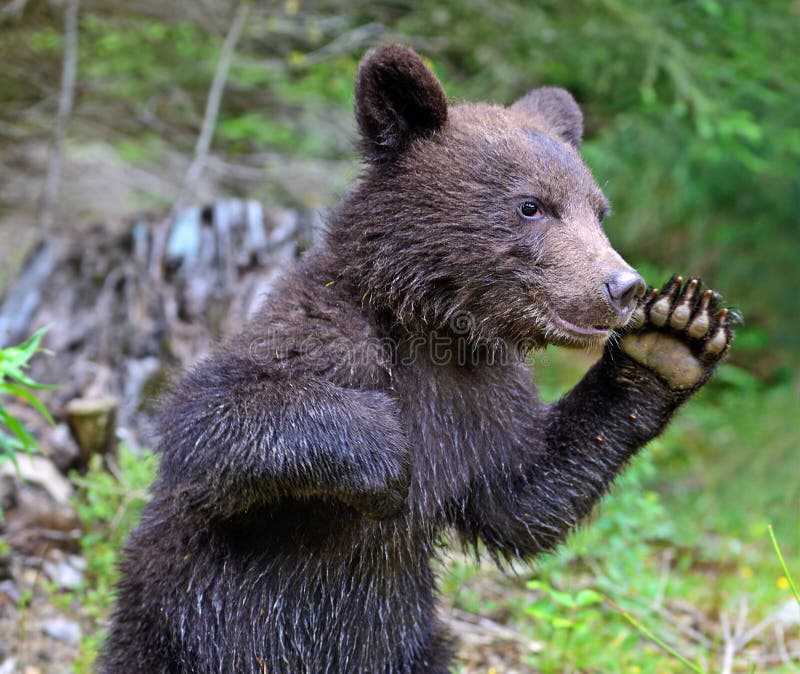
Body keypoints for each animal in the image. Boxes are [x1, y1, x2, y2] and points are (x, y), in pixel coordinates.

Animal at [99, 44, 734, 673]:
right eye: (532, 205)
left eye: (597, 210)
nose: (622, 286)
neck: (433, 328)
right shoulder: (319, 338)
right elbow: (212, 418)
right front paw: (386, 453)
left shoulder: (482, 400)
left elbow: (526, 493)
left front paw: (674, 335)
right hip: (176, 628)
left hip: (410, 643)